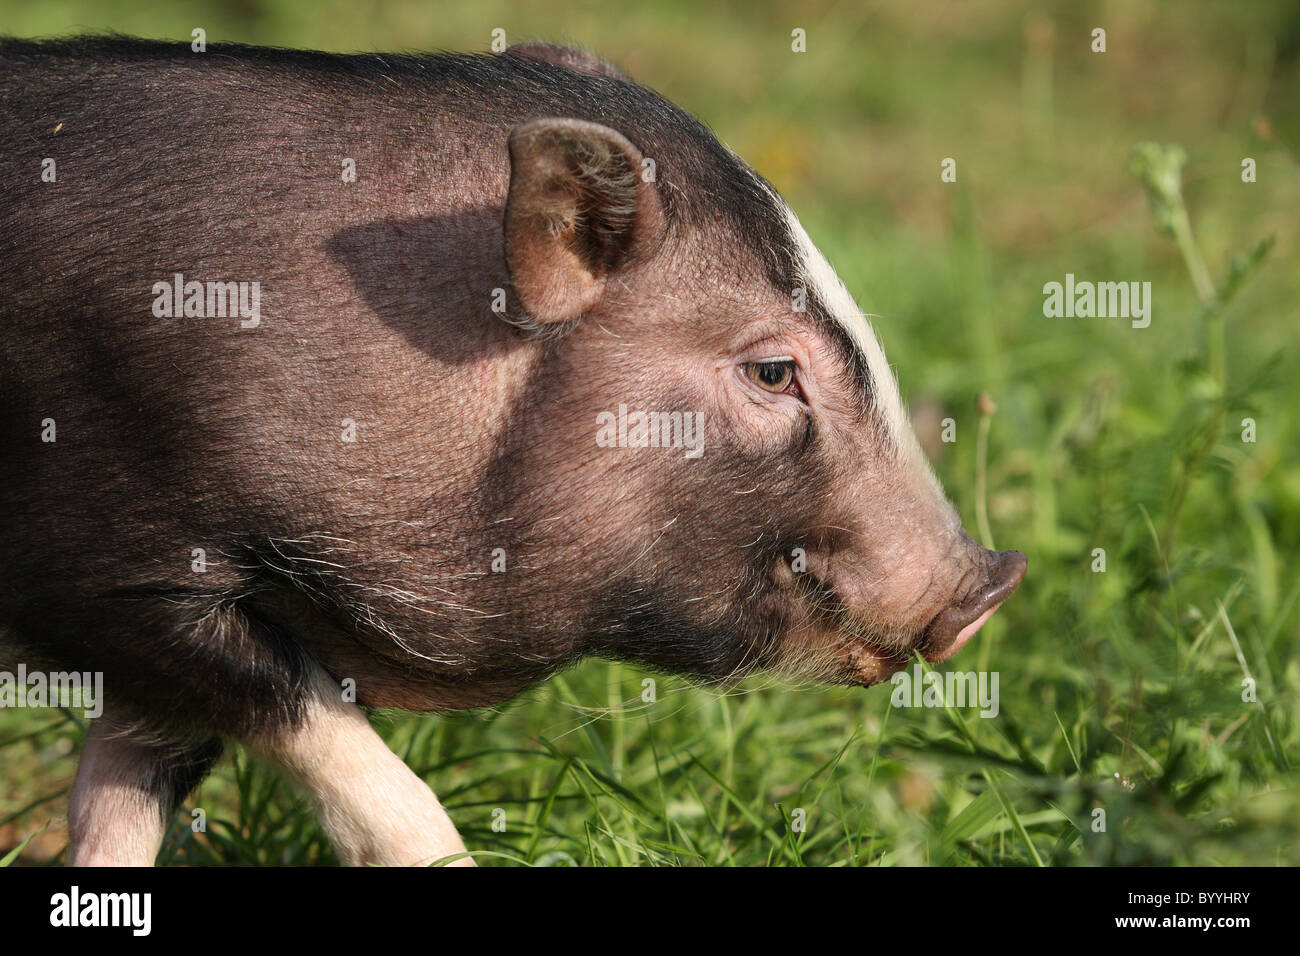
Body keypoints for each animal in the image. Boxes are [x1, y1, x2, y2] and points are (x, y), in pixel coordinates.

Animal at [0, 37, 1026, 866]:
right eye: (774, 371)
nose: (993, 584)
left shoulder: (140, 654)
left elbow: (119, 809)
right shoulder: (111, 574)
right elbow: (357, 766)